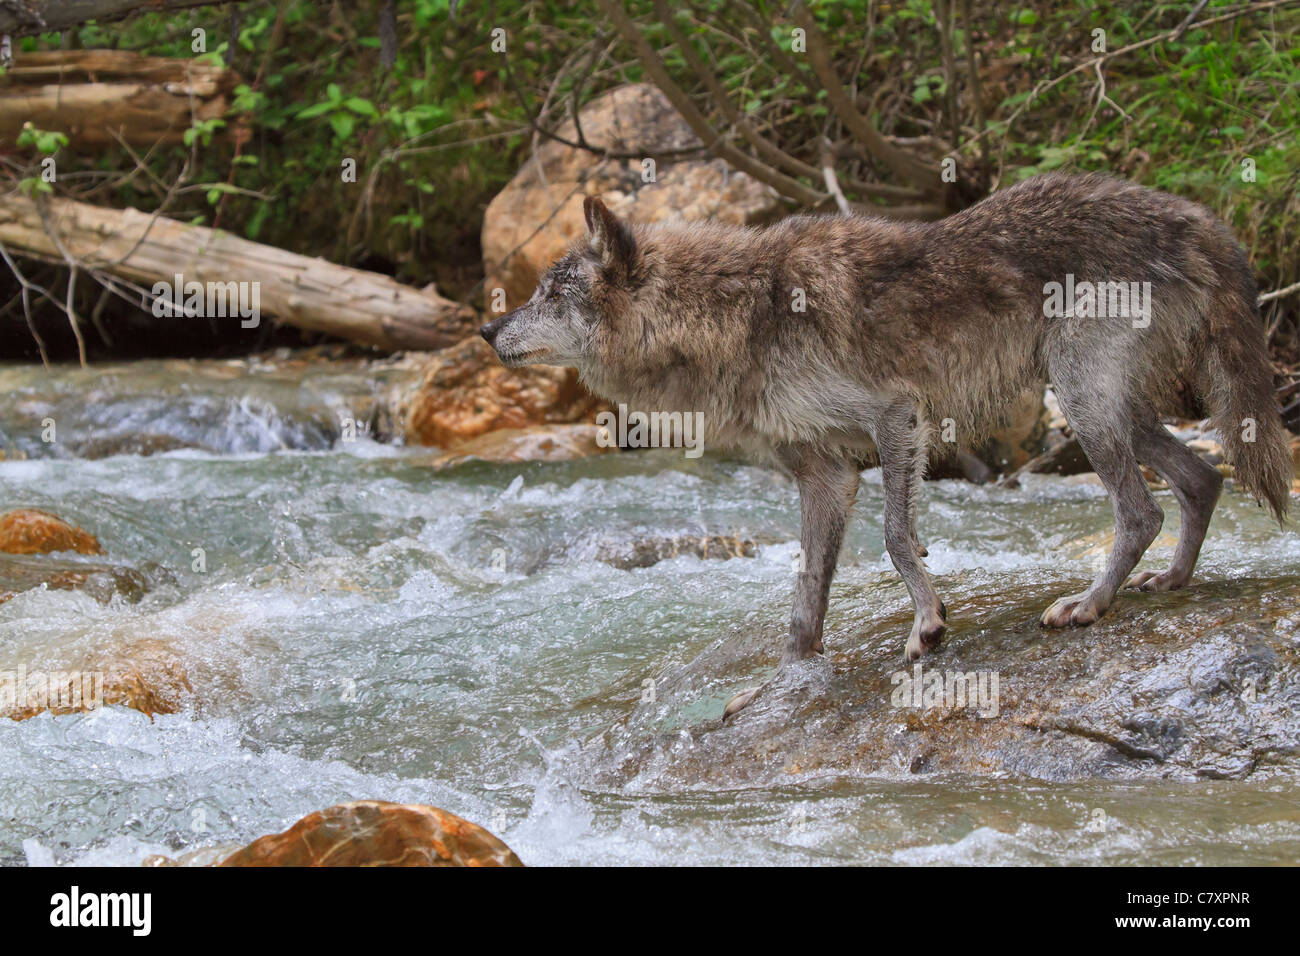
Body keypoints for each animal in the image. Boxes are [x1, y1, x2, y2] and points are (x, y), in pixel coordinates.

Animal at [481, 172, 1291, 675]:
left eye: (551, 294)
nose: (487, 329)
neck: (735, 313)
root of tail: (1200, 219)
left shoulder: (896, 416)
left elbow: (900, 537)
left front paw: (927, 624)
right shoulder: (824, 475)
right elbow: (807, 588)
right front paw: (789, 674)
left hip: (1087, 401)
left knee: (1142, 510)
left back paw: (1088, 606)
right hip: (1109, 405)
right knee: (1203, 477)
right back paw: (1172, 581)